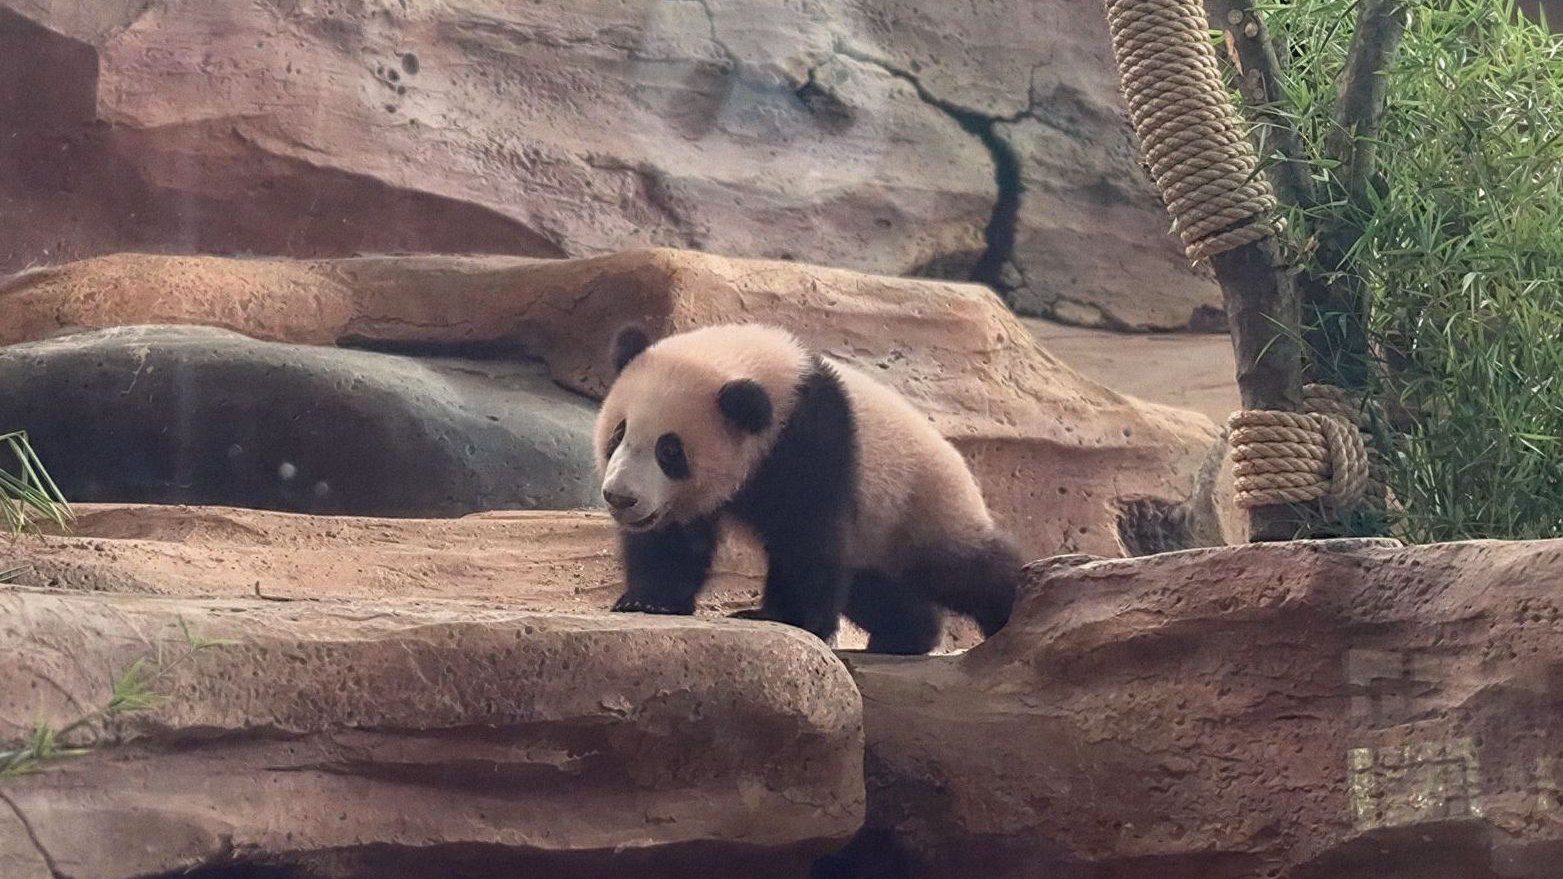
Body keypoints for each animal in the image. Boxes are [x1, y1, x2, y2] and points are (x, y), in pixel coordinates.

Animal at [594, 322, 1023, 655]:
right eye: (618, 433)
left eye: (669, 450)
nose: (621, 497)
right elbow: (673, 542)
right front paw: (649, 600)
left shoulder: (811, 440)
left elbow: (805, 534)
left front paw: (786, 617)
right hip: (877, 539)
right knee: (874, 589)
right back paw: (907, 636)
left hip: (921, 506)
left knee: (967, 571)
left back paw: (1014, 608)